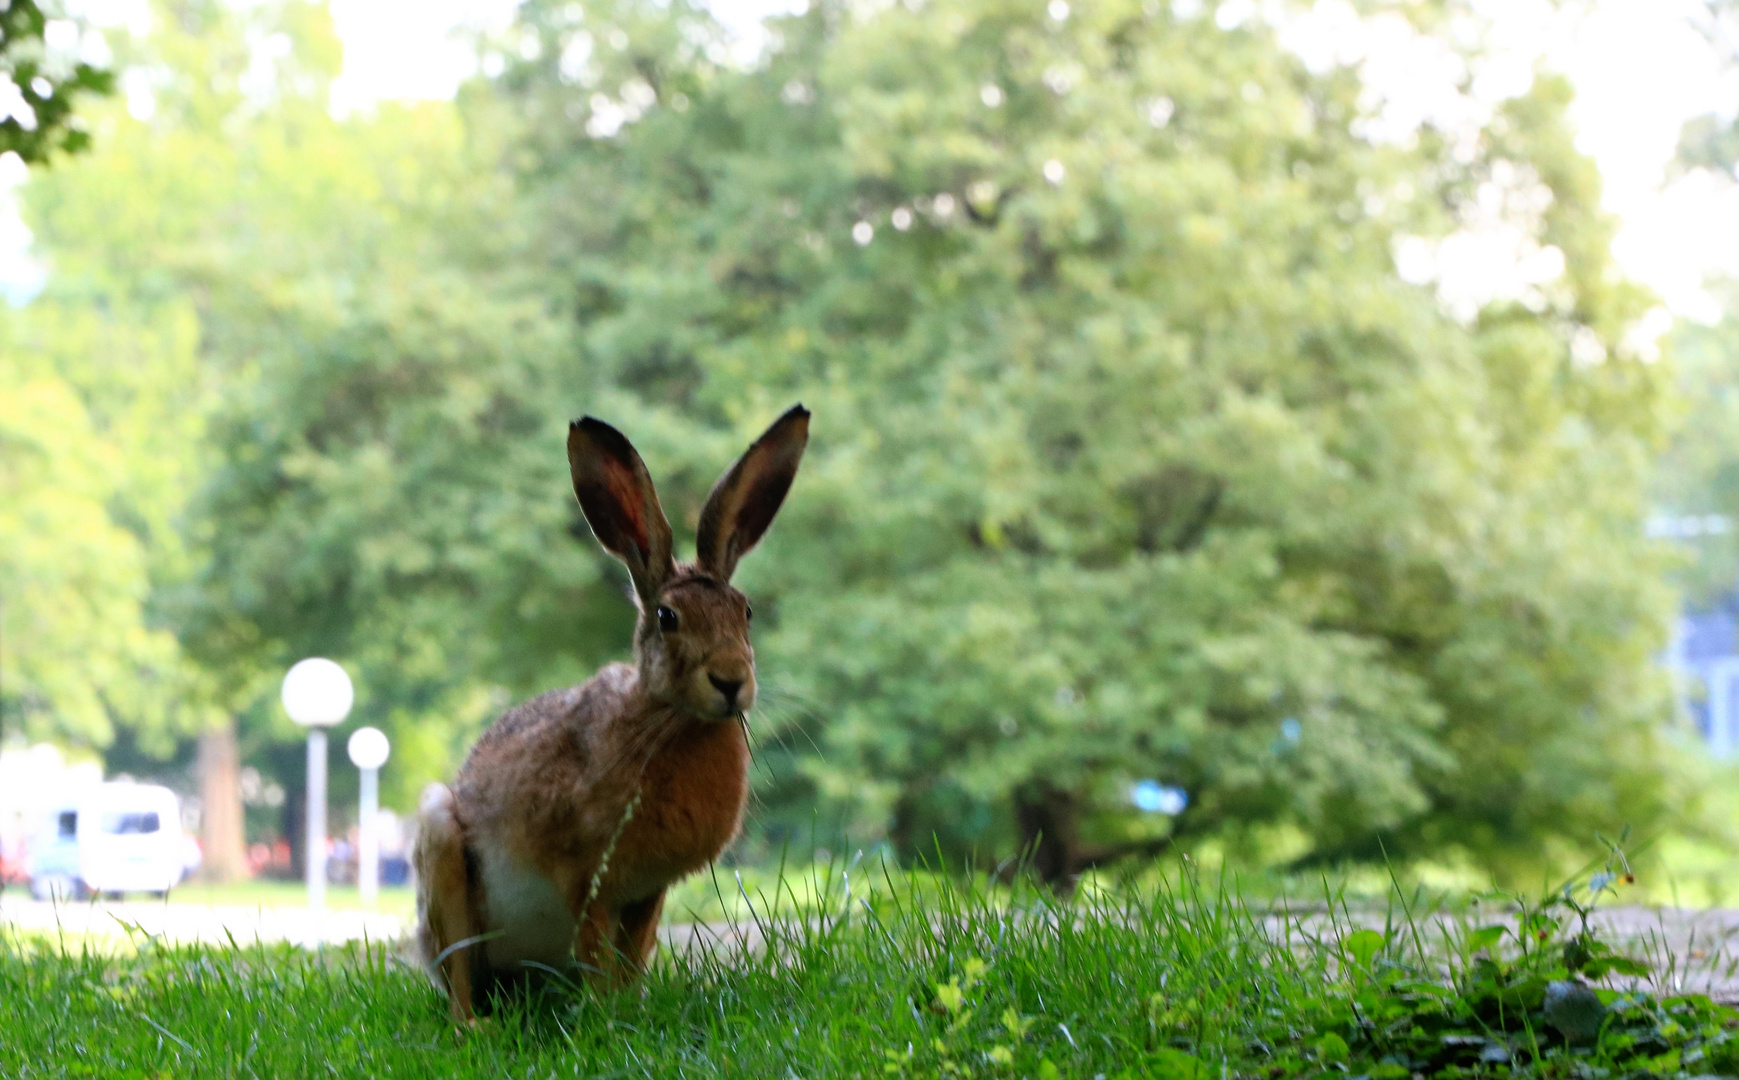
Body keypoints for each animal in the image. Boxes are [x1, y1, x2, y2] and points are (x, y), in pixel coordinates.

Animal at [413, 404, 809, 1022]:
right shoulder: (585, 879)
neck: (667, 718)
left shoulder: (648, 890)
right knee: (457, 970)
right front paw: (604, 1018)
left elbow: (631, 955)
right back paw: (473, 1026)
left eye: (745, 612)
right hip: (441, 853)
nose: (730, 682)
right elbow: (597, 954)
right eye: (668, 618)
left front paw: (630, 1011)